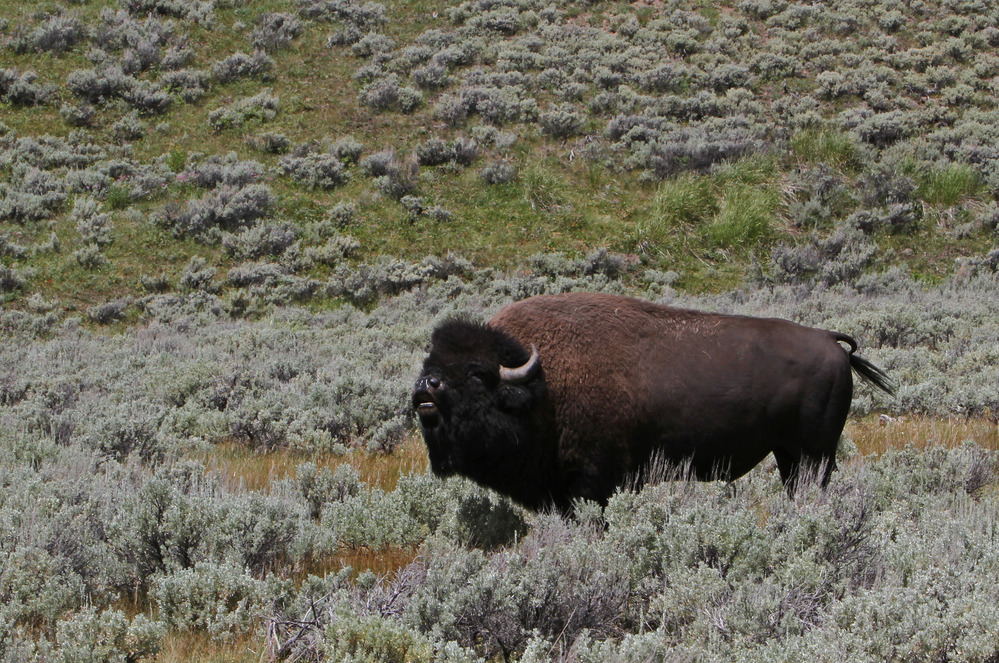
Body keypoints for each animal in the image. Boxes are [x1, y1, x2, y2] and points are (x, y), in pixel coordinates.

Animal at [412, 292, 893, 513]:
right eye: (430, 360)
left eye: (477, 374)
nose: (424, 390)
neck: (538, 386)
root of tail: (832, 342)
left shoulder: (593, 485)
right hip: (788, 455)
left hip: (814, 453)